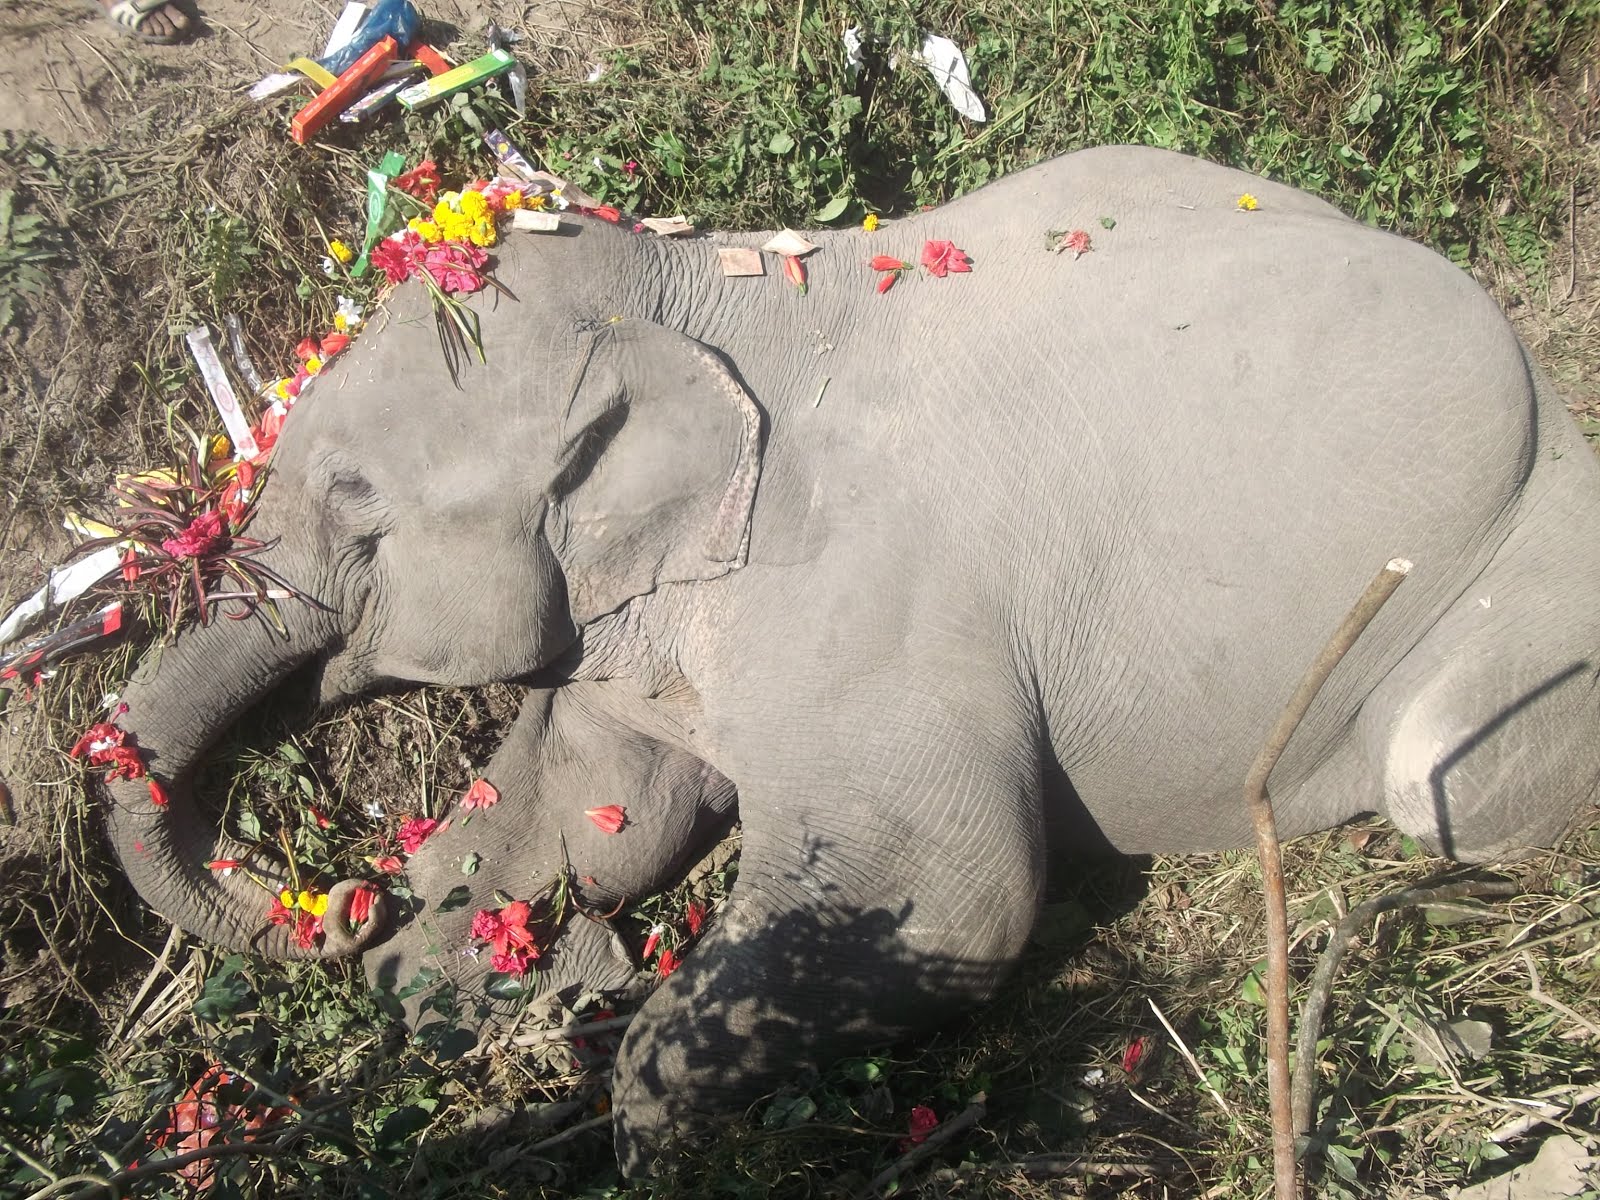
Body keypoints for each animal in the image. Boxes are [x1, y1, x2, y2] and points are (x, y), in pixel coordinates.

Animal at [99, 144, 1600, 1174]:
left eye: (354, 496)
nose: (342, 904)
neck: (695, 289)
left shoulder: (860, 588)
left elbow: (942, 896)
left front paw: (647, 1137)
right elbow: (600, 808)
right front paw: (442, 966)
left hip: (1518, 578)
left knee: (1441, 787)